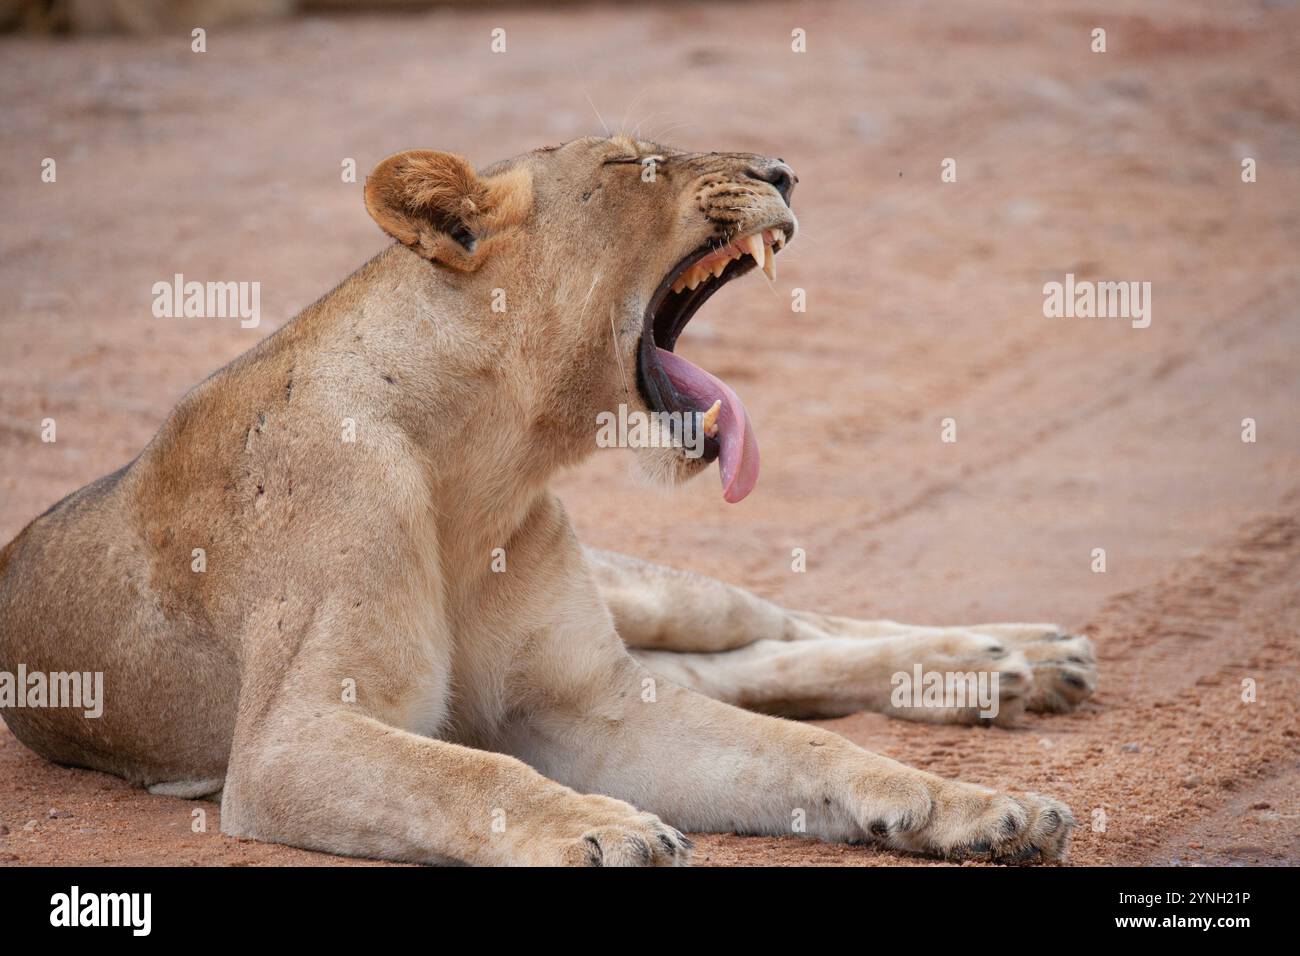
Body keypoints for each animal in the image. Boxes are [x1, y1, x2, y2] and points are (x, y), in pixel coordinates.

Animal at [0, 137, 1097, 865]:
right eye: (632, 163)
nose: (785, 173)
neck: (483, 467)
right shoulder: (289, 742)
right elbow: (475, 771)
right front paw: (602, 824)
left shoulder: (587, 706)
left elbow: (803, 745)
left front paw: (968, 803)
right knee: (746, 661)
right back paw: (1003, 671)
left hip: (654, 595)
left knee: (779, 624)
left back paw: (1016, 658)